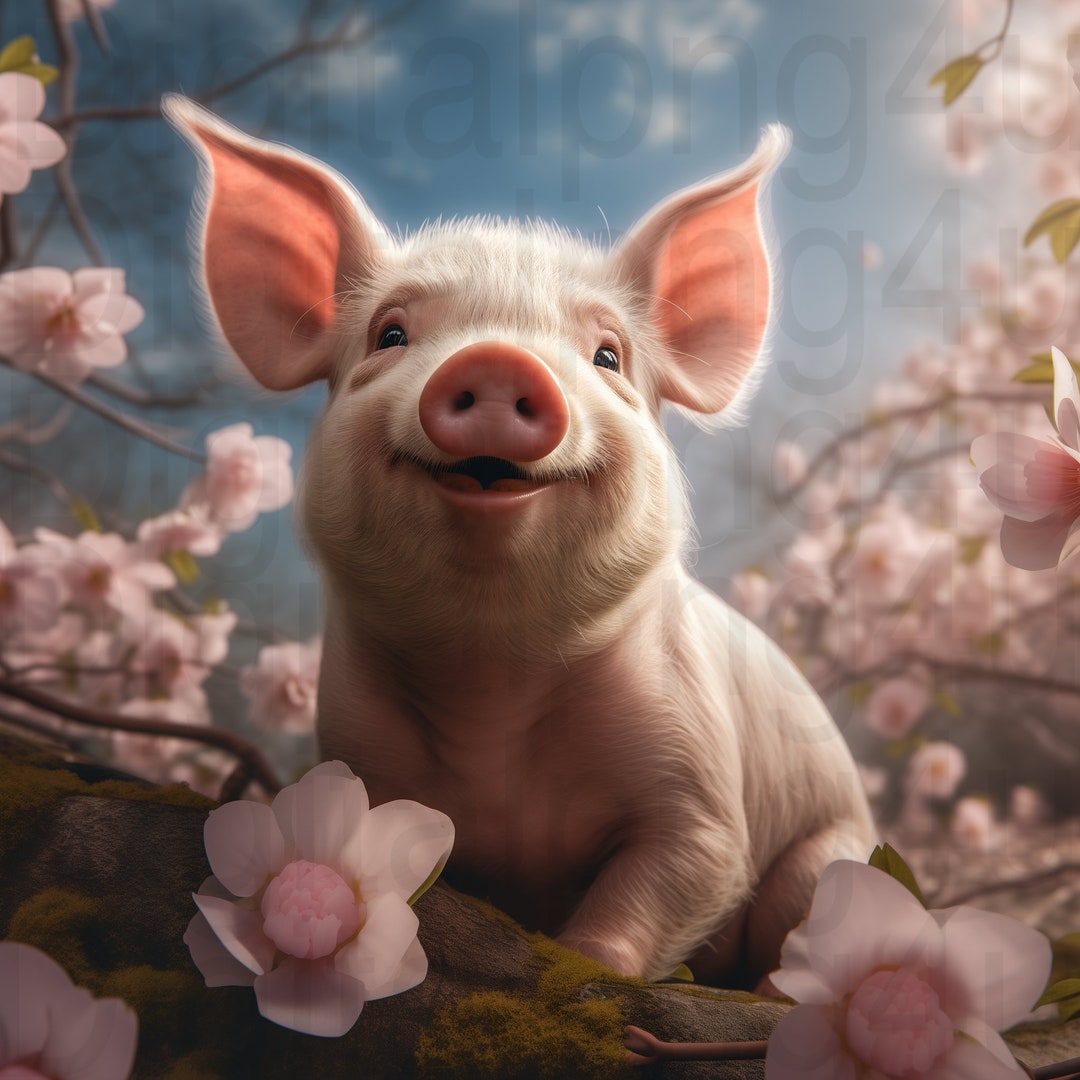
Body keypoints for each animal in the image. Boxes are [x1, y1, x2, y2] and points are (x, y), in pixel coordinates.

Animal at [164, 94, 876, 987]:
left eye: (608, 355)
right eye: (390, 335)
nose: (499, 361)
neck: (491, 679)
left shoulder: (699, 771)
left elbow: (685, 869)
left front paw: (583, 969)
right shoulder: (357, 745)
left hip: (831, 857)